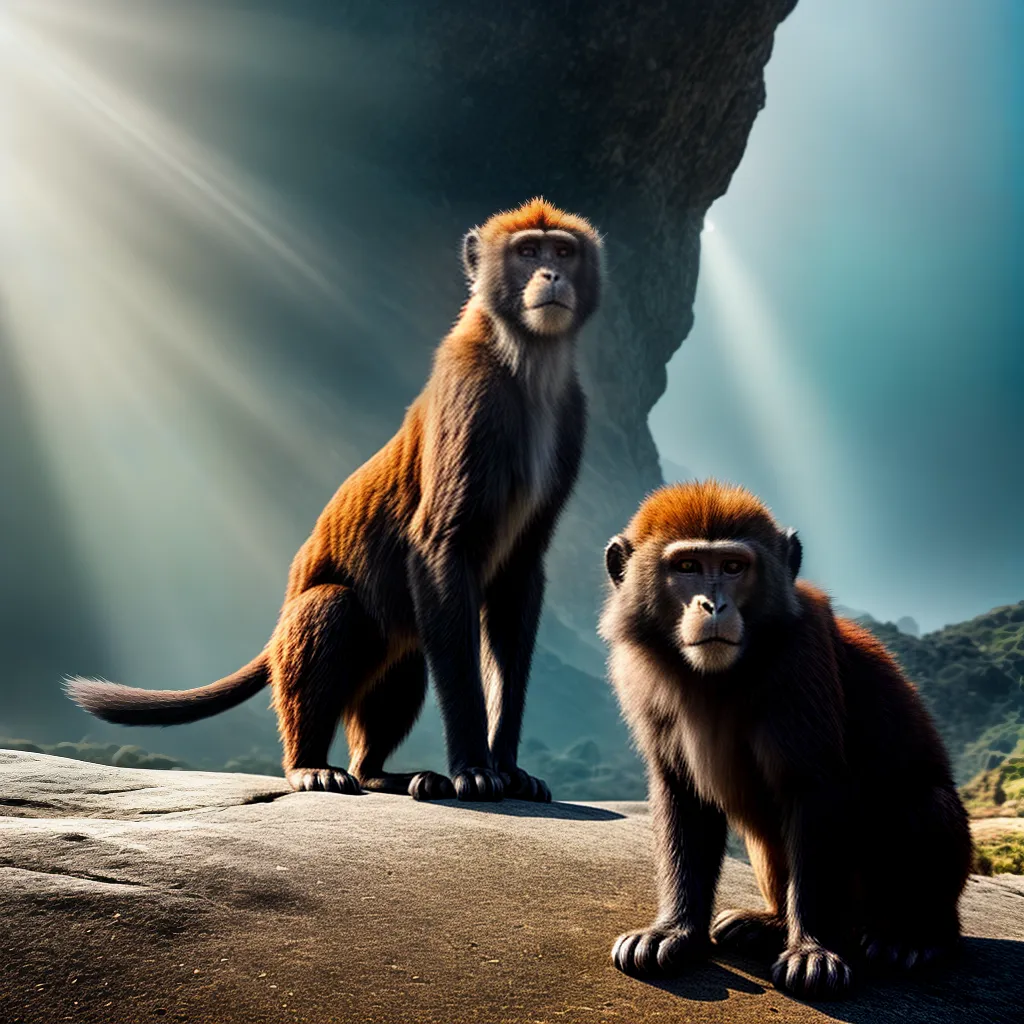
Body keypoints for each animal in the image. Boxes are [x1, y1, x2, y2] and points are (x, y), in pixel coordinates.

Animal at [66, 197, 604, 804]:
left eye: (562, 250)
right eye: (528, 251)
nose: (551, 275)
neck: (526, 363)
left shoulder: (570, 417)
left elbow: (517, 580)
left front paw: (508, 768)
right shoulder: (473, 398)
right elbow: (440, 549)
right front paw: (474, 766)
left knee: (405, 656)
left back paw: (382, 773)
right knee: (335, 608)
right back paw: (310, 765)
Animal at [599, 480, 972, 1000]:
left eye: (733, 567)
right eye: (688, 567)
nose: (714, 605)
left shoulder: (802, 654)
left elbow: (811, 788)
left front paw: (811, 949)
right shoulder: (638, 675)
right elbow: (682, 791)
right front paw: (673, 931)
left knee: (923, 806)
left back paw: (914, 937)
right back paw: (770, 923)